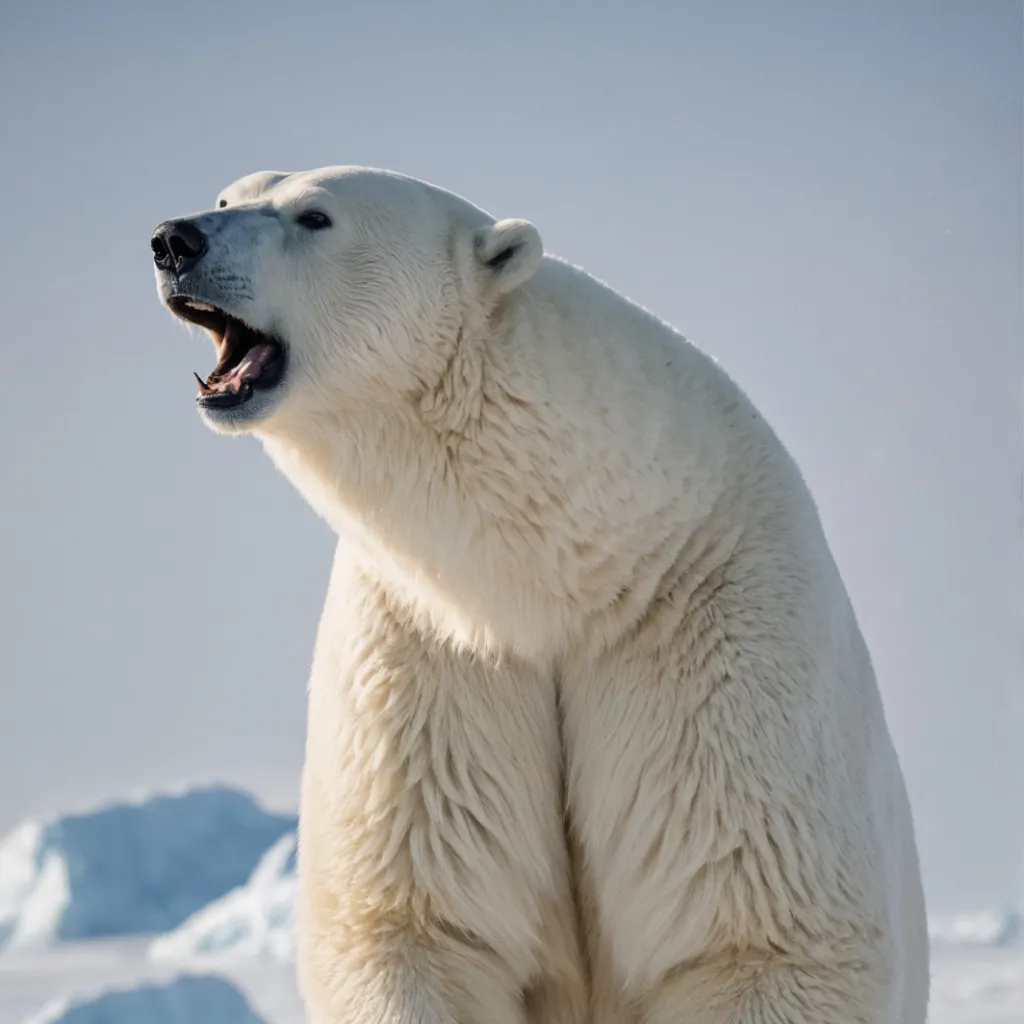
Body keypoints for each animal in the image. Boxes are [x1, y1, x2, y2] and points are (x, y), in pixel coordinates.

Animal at [151, 166, 929, 1023]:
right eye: (228, 197)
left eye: (315, 216)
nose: (175, 240)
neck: (571, 573)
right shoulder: (425, 647)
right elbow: (417, 923)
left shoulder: (723, 625)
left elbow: (760, 935)